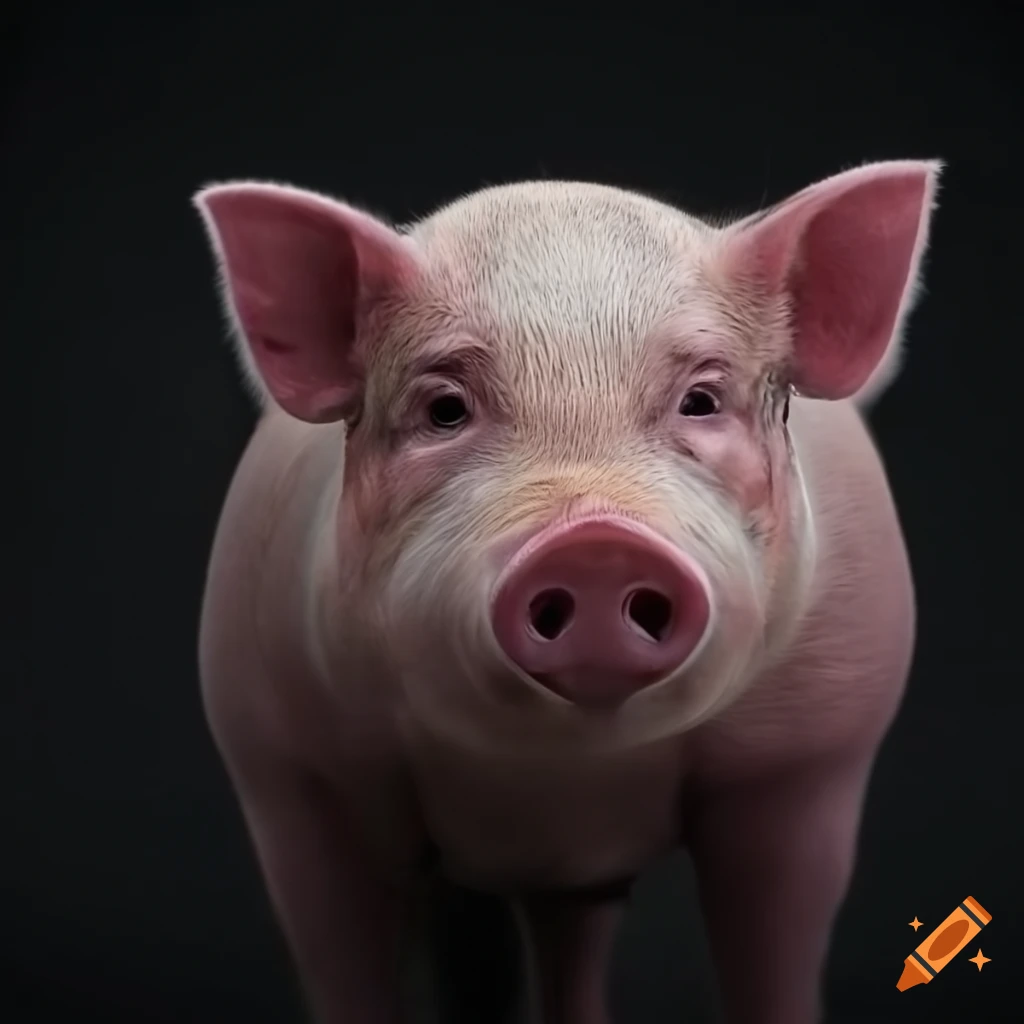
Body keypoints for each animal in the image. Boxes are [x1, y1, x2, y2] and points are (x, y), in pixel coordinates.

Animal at [194, 159, 941, 1024]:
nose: (596, 546)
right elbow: (343, 958)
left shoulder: (808, 762)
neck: (562, 772)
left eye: (702, 400)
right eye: (444, 408)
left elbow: (777, 941)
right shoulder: (291, 772)